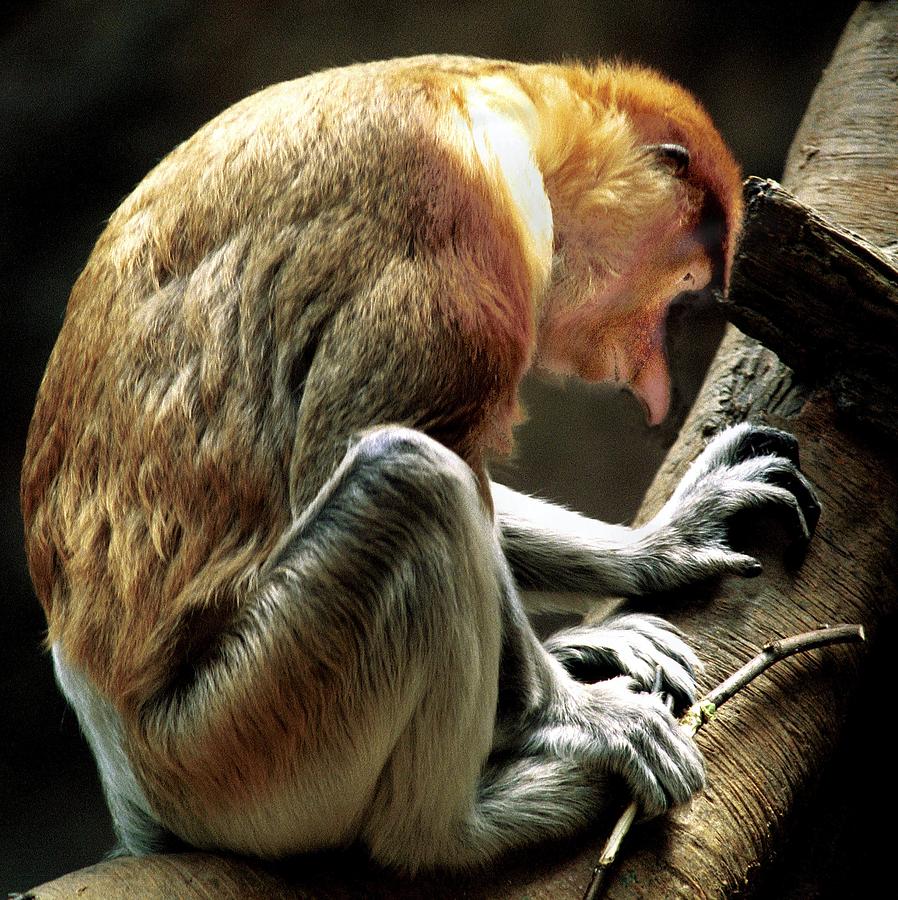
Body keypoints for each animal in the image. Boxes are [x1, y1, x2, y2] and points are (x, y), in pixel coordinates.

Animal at [21, 55, 819, 874]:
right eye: (686, 285)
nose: (656, 388)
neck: (505, 102)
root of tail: (122, 756)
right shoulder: (457, 221)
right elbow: (359, 450)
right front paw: (577, 716)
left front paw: (669, 542)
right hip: (239, 741)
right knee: (409, 477)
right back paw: (461, 823)